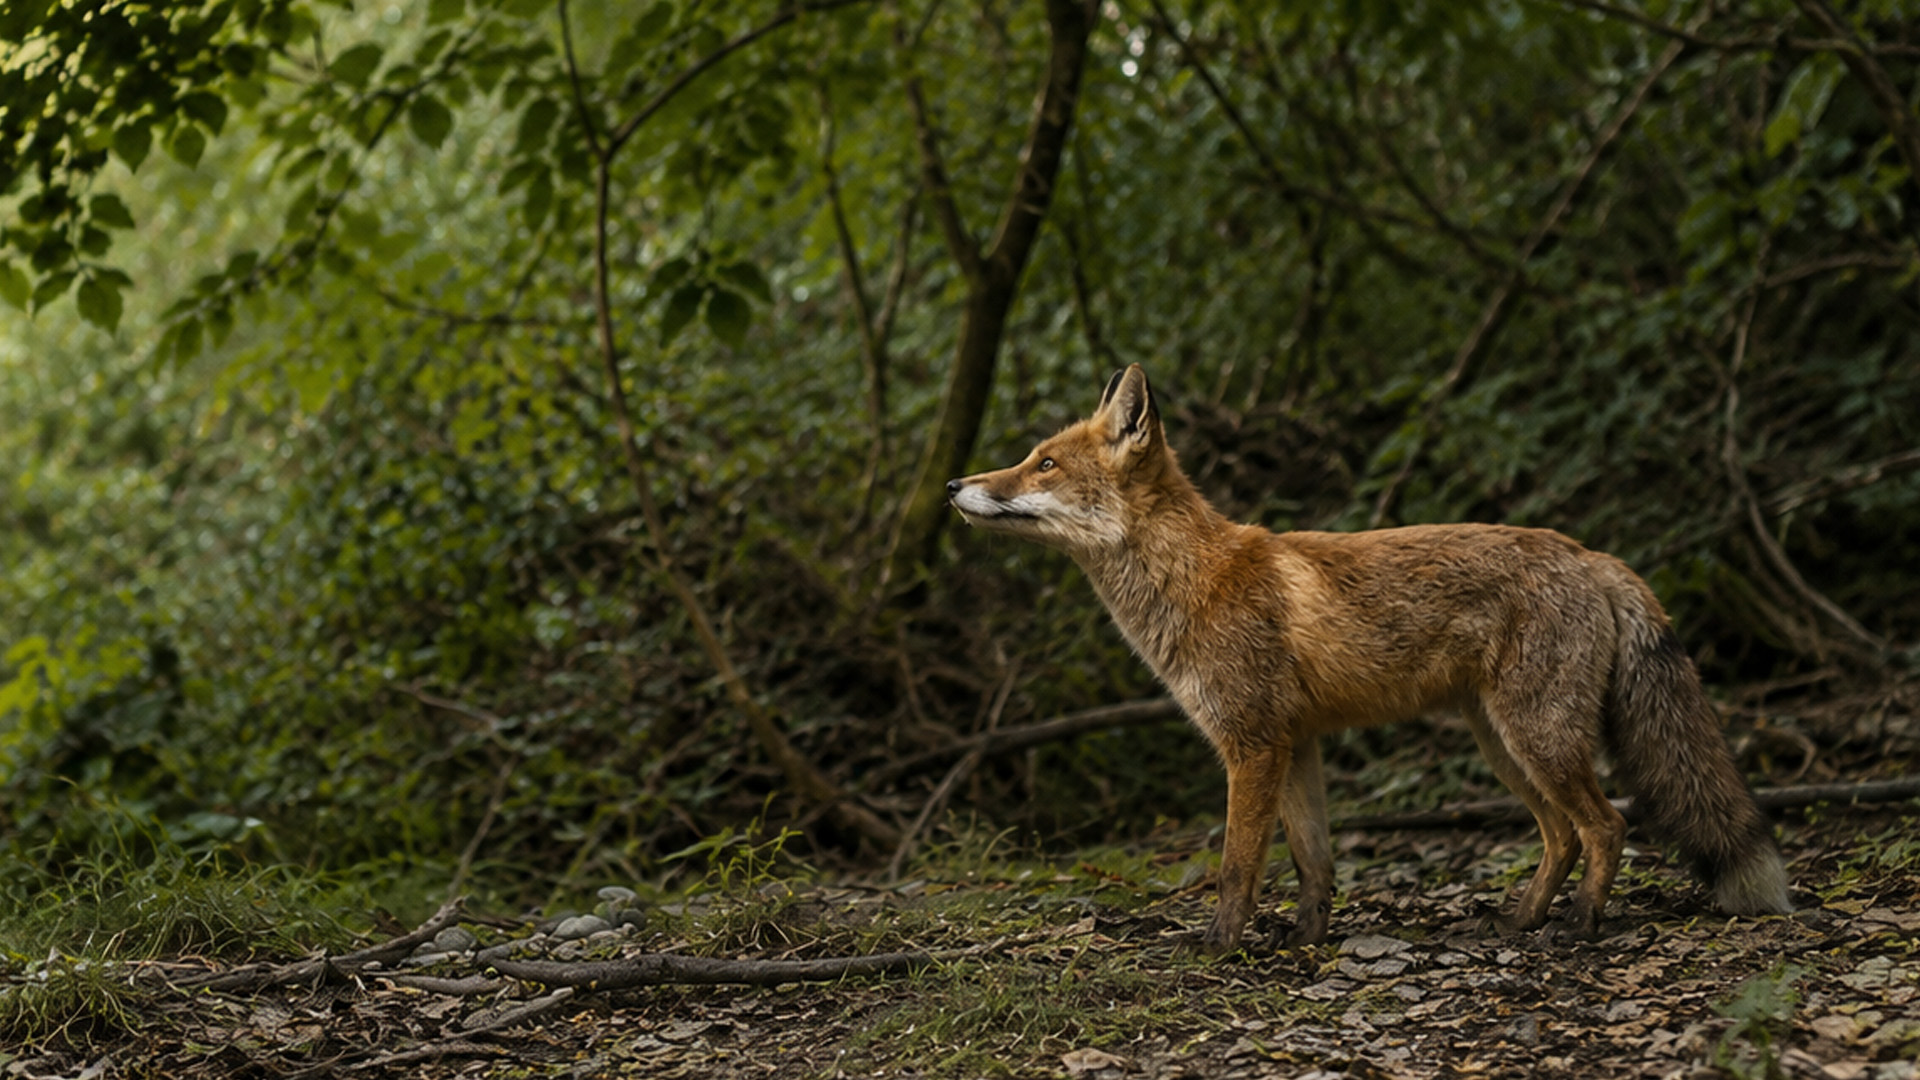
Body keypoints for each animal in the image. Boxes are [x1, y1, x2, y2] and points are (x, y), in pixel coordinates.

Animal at [946, 365, 1791, 951]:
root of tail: (1591, 554)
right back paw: (1521, 919)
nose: (954, 481)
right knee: (1561, 834)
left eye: (1044, 465)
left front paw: (1219, 947)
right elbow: (1314, 862)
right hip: (1505, 744)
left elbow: (1238, 866)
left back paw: (1578, 926)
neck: (1197, 582)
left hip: (1538, 738)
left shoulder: (1252, 745)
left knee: (1608, 825)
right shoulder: (1297, 745)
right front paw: (1307, 940)